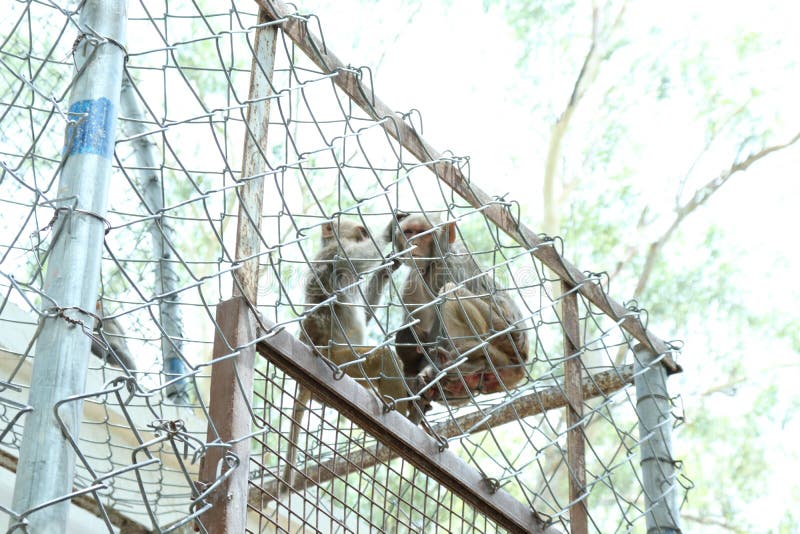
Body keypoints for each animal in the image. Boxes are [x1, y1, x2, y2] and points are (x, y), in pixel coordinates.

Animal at [282, 217, 412, 490]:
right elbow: (352, 258)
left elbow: (365, 311)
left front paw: (387, 269)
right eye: (361, 232)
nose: (366, 235)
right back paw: (404, 413)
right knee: (382, 357)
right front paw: (389, 231)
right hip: (338, 360)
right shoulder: (333, 256)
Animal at [392, 213, 529, 412]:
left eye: (423, 233)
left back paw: (470, 362)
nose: (413, 243)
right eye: (409, 232)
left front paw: (428, 369)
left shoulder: (448, 267)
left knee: (450, 292)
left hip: (505, 338)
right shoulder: (414, 280)